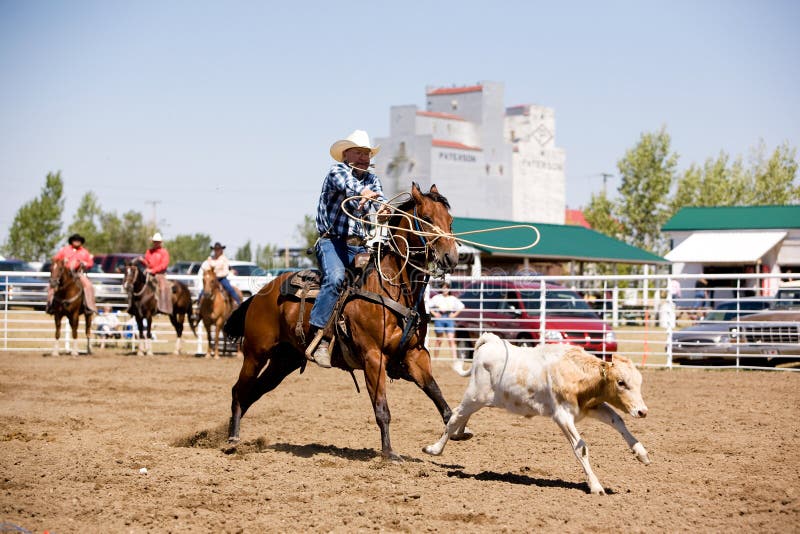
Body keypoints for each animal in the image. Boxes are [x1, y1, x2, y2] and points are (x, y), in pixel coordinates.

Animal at [423, 333, 650, 494]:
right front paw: (596, 486)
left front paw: (642, 453)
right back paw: (434, 449)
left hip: (478, 400)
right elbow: (581, 449)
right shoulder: (562, 416)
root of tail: (490, 342)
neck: (577, 375)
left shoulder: (592, 406)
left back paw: (460, 434)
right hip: (474, 395)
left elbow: (617, 420)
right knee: (455, 416)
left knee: (462, 416)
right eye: (621, 382)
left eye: (639, 382)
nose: (642, 411)